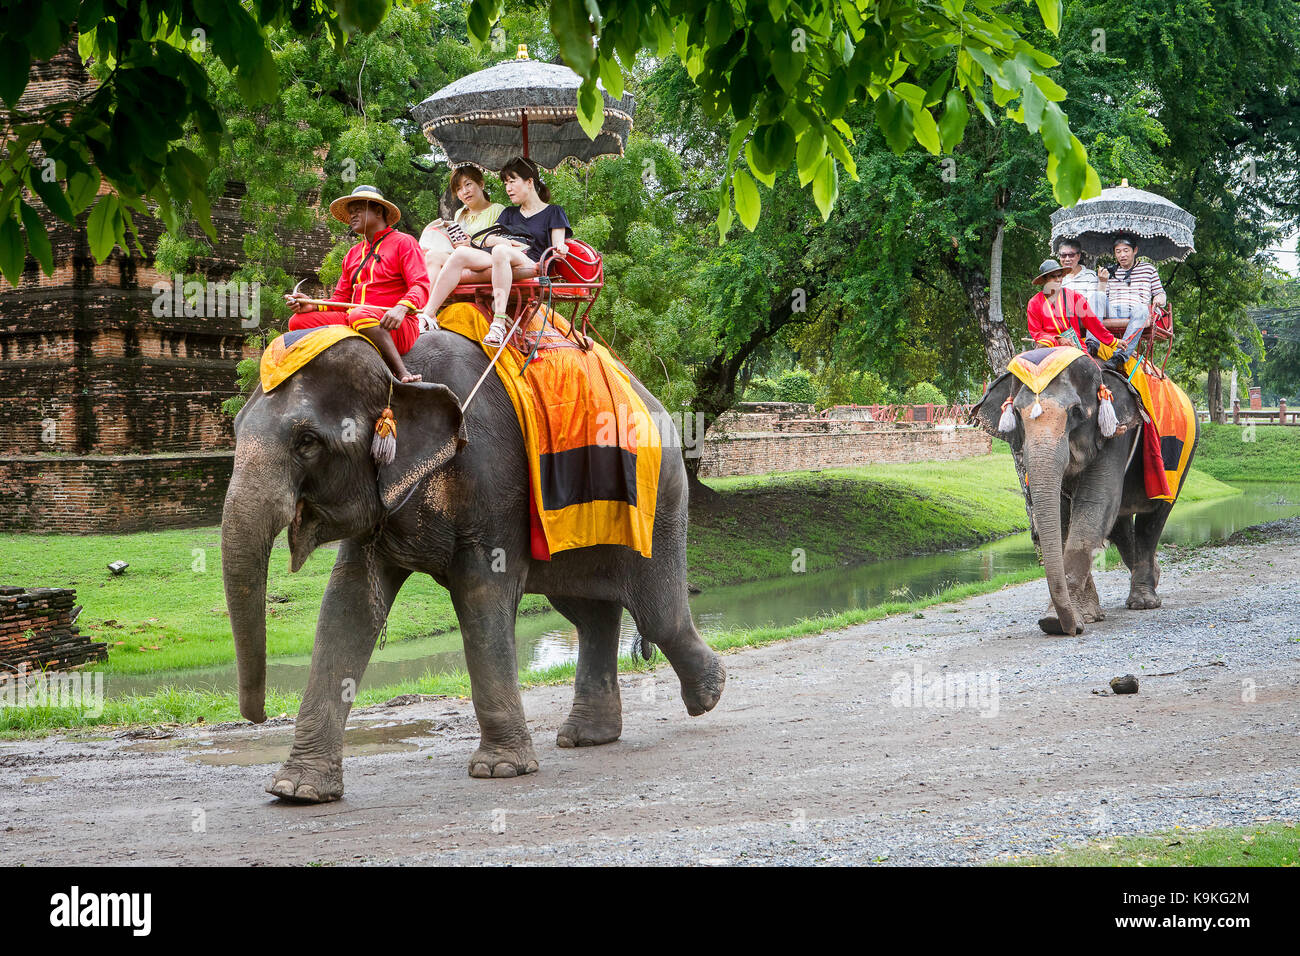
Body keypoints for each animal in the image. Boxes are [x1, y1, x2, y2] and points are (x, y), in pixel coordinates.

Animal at [221, 328, 726, 802]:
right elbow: (348, 606)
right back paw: (588, 736)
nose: (258, 715)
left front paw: (500, 770)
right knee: (588, 614)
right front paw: (296, 791)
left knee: (655, 614)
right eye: (236, 429)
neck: (400, 373)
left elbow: (481, 594)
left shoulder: (495, 485)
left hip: (660, 502)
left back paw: (708, 694)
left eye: (306, 441)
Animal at [971, 351, 1198, 635]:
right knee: (1120, 525)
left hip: (1179, 460)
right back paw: (1154, 575)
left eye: (1076, 412)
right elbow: (1061, 516)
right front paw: (1083, 617)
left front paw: (1057, 621)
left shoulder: (1116, 435)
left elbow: (1094, 505)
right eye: (1017, 415)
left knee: (1153, 518)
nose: (1068, 628)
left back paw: (1144, 601)